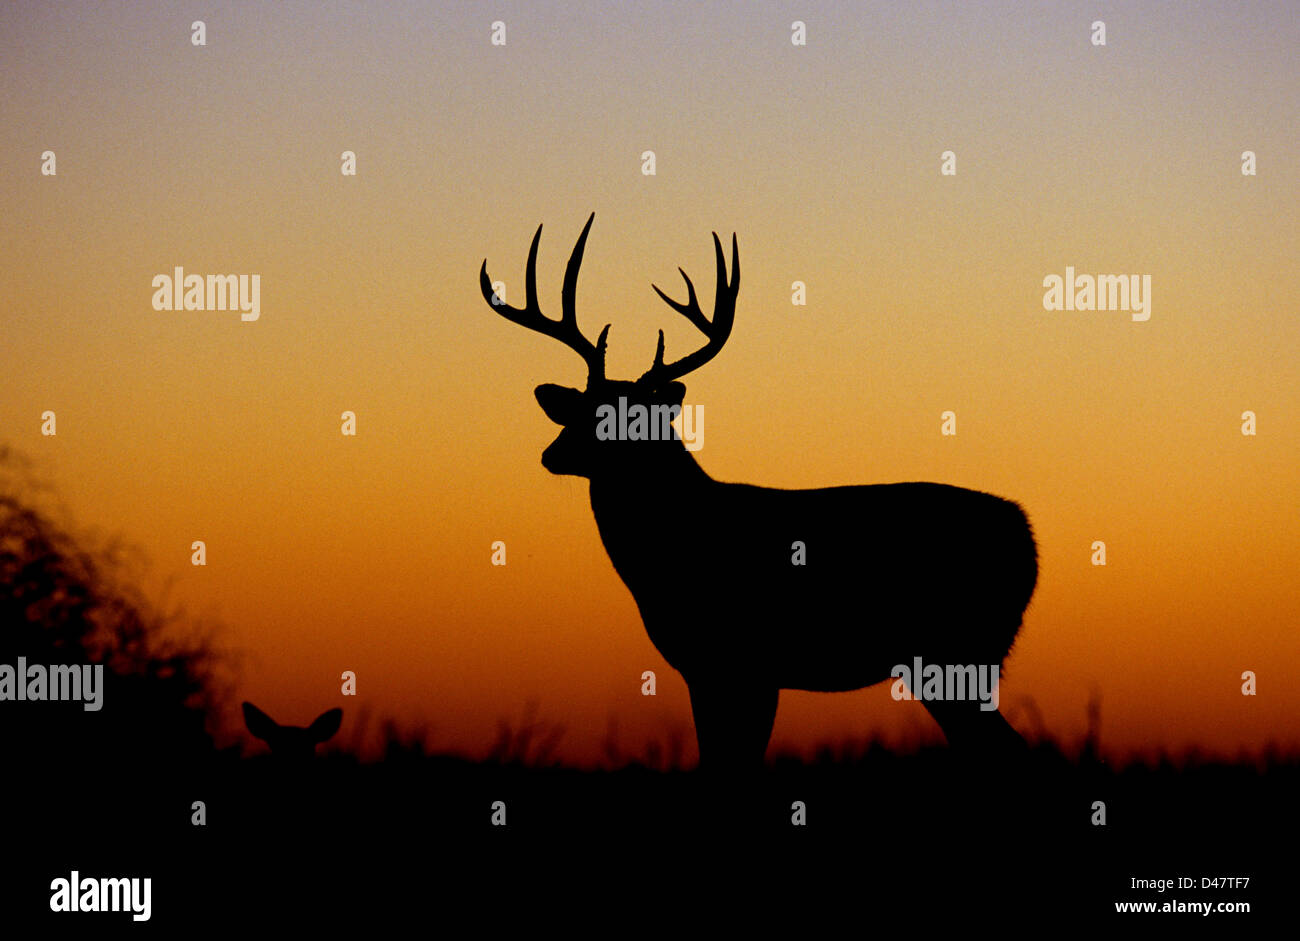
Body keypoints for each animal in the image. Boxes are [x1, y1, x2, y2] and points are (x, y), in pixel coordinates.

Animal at [478, 213, 1039, 769]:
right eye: (581, 409)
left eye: (624, 420)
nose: (552, 455)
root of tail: (1026, 536)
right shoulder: (724, 670)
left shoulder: (736, 663)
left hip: (958, 649)